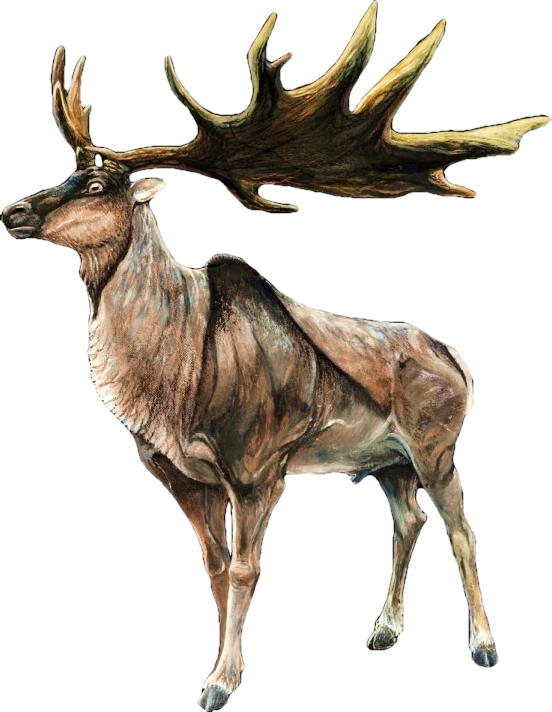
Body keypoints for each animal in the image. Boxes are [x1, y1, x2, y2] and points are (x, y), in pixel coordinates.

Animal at [2, 4, 549, 710]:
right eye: (66, 173)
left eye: (94, 182)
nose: (11, 212)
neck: (174, 382)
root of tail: (458, 362)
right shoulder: (181, 475)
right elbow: (212, 567)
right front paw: (217, 670)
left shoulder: (258, 464)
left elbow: (243, 569)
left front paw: (218, 684)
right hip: (388, 460)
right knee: (407, 521)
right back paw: (381, 632)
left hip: (436, 442)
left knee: (461, 527)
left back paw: (483, 648)